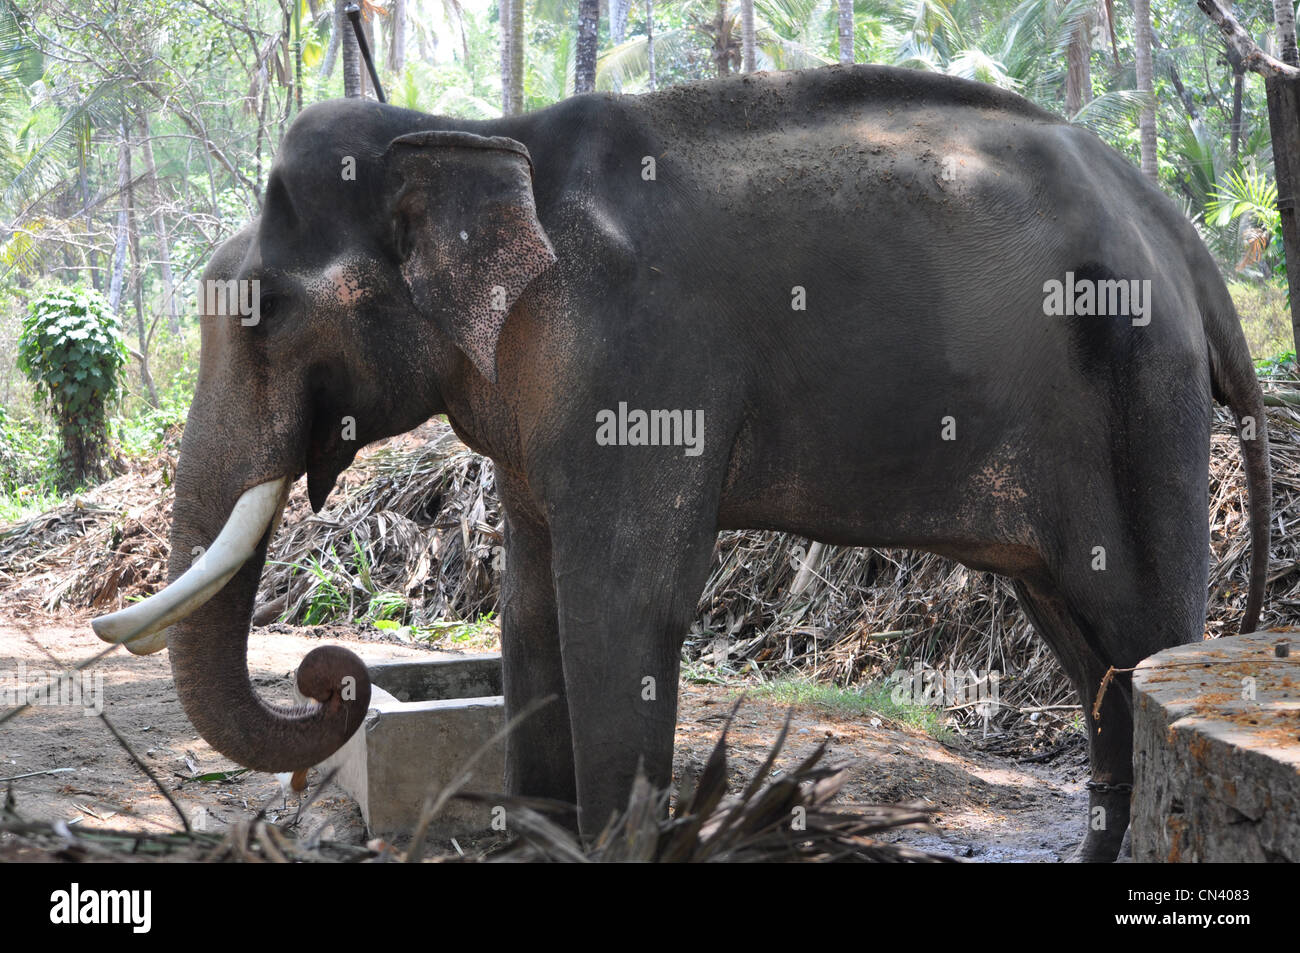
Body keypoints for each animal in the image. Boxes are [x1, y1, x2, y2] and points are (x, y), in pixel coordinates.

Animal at [93, 64, 1269, 862]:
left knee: (1141, 626)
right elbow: (532, 606)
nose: (329, 671)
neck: (486, 137)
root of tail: (1179, 230)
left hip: (1139, 393)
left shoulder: (638, 358)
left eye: (264, 312)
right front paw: (539, 838)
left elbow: (621, 605)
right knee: (1082, 639)